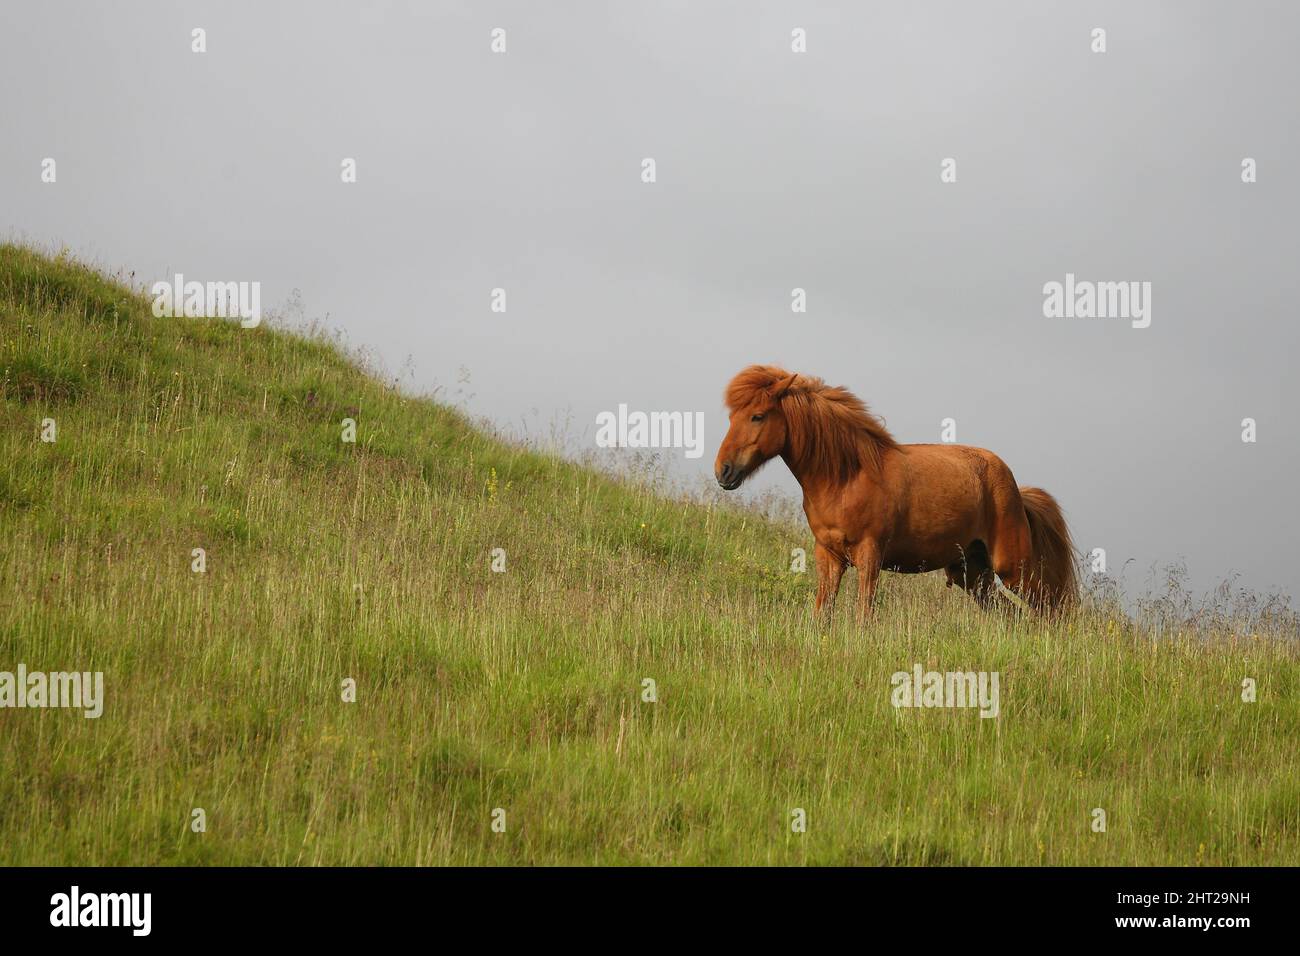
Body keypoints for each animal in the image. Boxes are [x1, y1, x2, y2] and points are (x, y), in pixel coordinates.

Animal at [714, 365, 1077, 620]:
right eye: (732, 416)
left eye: (758, 416)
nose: (723, 471)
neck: (846, 478)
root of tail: (1015, 488)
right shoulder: (828, 555)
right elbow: (823, 611)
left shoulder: (870, 554)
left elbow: (864, 614)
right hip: (971, 573)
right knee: (1010, 613)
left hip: (1014, 569)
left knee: (1048, 609)